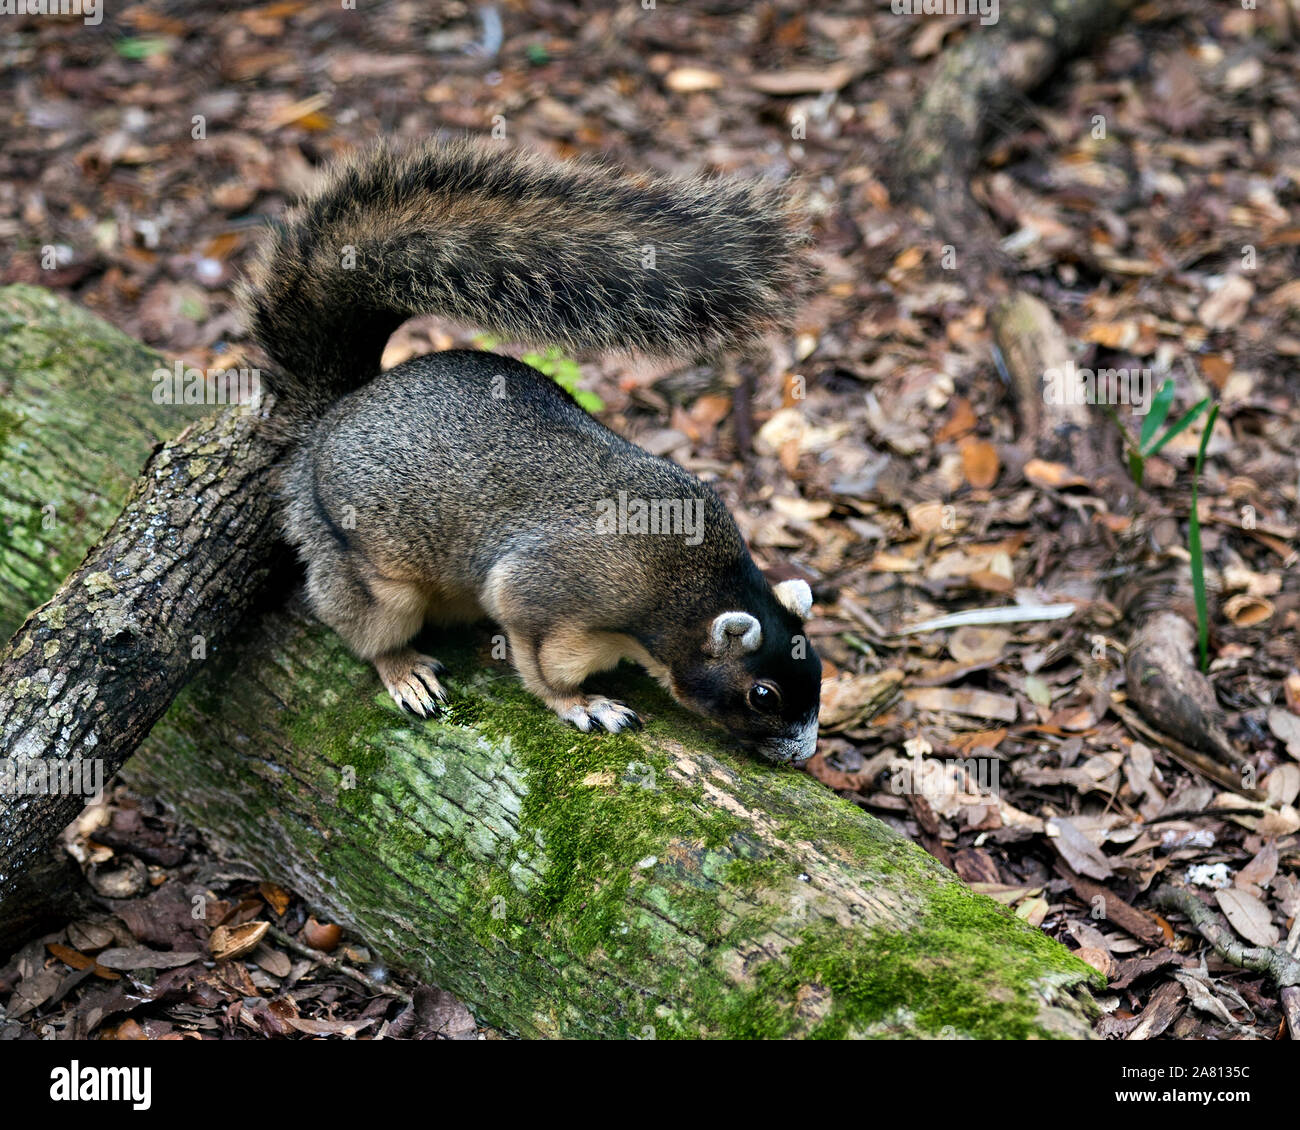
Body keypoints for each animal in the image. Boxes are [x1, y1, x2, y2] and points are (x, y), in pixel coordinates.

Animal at [238, 139, 822, 764]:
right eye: (762, 694)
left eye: (817, 666)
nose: (804, 754)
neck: (686, 585)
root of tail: (330, 420)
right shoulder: (544, 594)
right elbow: (542, 666)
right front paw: (582, 704)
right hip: (373, 575)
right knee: (364, 629)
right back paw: (403, 670)